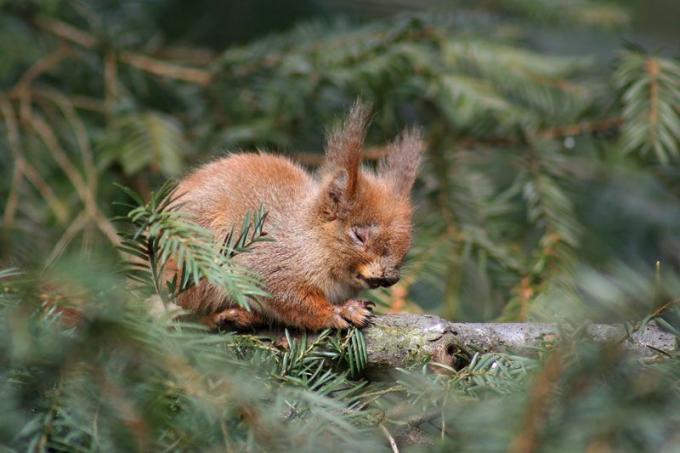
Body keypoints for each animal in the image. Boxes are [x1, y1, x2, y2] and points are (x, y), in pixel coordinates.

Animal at [173, 101, 422, 328]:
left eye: (407, 246)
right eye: (359, 235)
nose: (391, 278)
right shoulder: (271, 260)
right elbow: (291, 299)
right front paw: (340, 312)